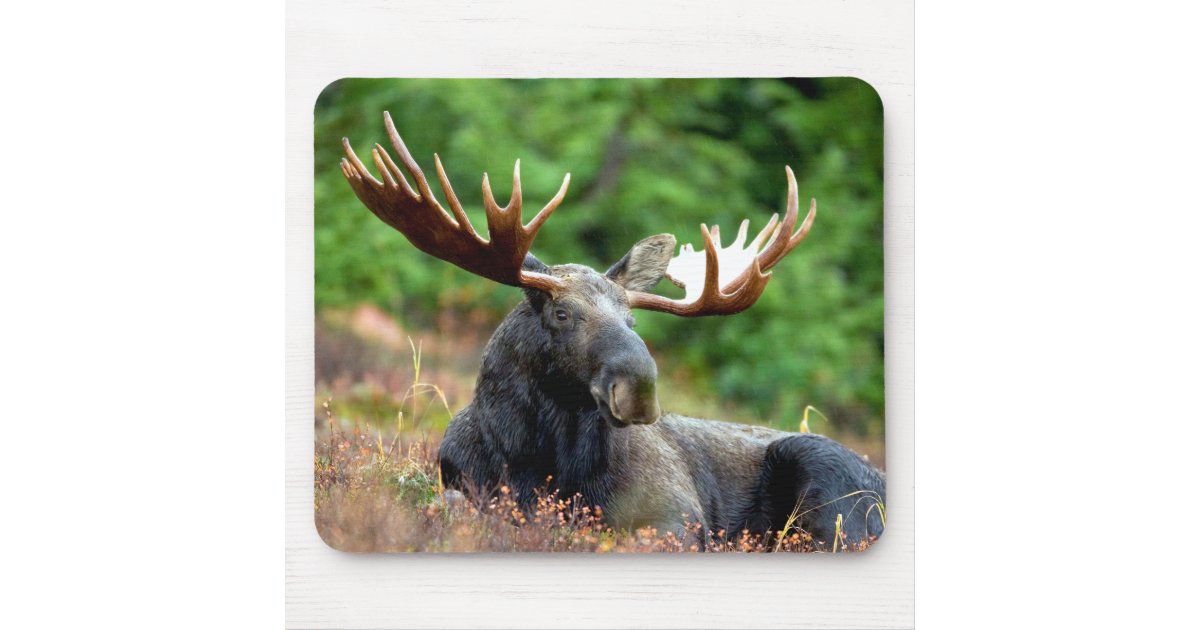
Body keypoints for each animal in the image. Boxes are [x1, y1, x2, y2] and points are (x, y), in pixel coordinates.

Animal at [340, 112, 885, 549]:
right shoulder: (462, 484)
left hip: (830, 484)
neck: (538, 463)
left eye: (632, 320)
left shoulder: (676, 513)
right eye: (562, 313)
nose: (639, 388)